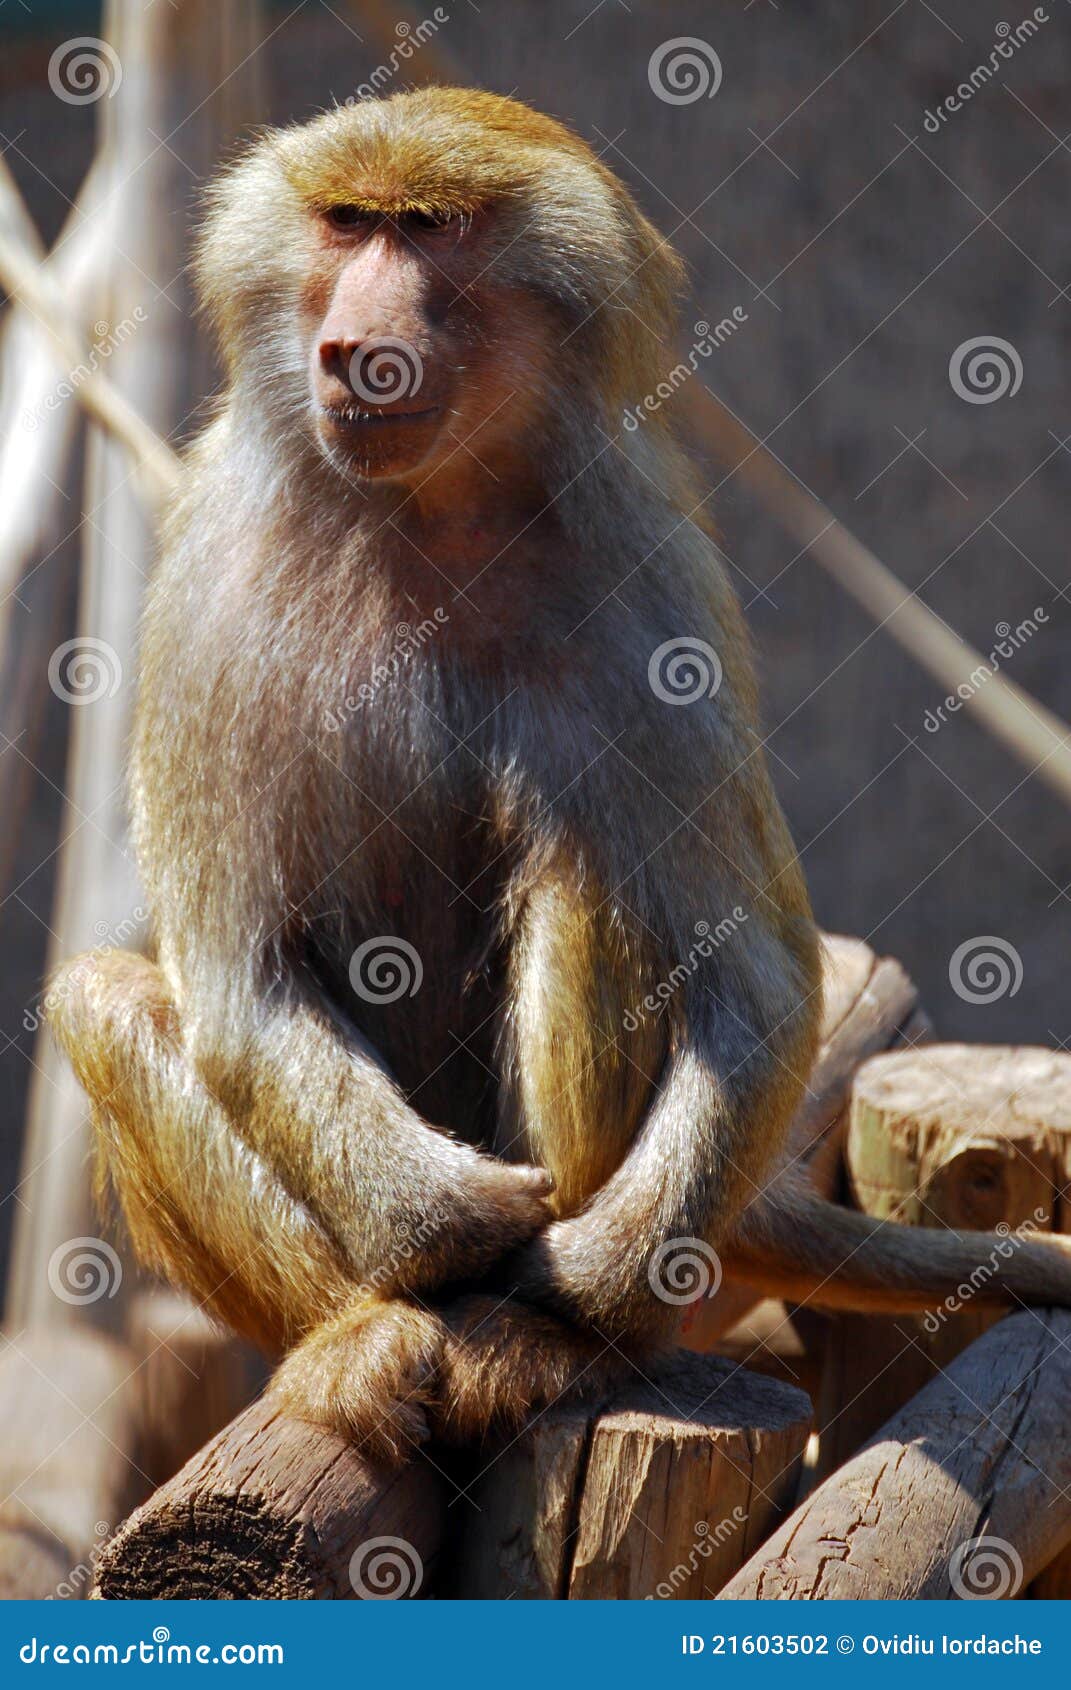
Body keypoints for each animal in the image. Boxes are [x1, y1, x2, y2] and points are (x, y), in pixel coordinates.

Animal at [50, 88, 1071, 1470]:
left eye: (430, 229)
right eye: (347, 222)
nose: (351, 348)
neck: (431, 510)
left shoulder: (651, 575)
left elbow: (754, 972)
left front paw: (595, 1269)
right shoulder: (212, 569)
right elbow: (236, 973)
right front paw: (432, 1216)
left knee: (592, 873)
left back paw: (552, 1338)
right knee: (108, 999)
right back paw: (361, 1331)